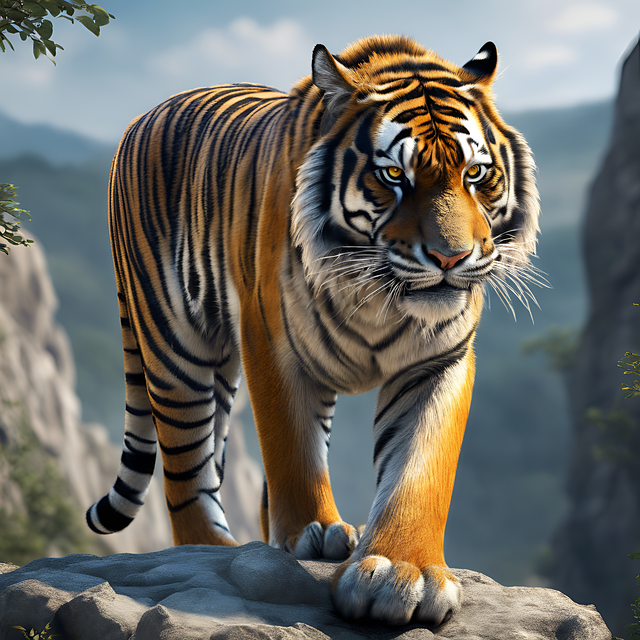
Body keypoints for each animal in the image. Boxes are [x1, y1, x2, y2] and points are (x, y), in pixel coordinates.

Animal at [86, 35, 539, 626]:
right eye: (394, 176)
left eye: (476, 175)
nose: (451, 258)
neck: (379, 296)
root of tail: (144, 115)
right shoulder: (272, 341)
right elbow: (292, 447)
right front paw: (312, 531)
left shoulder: (440, 360)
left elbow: (420, 466)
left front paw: (404, 573)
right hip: (173, 342)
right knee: (186, 464)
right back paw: (216, 548)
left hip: (222, 371)